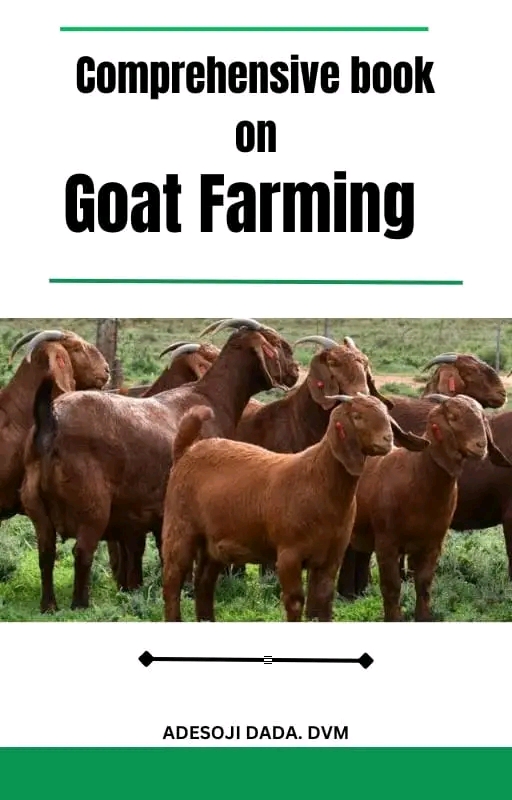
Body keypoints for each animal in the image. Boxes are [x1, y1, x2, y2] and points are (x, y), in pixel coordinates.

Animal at [20, 318, 299, 612]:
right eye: (277, 343)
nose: (295, 370)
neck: (210, 398)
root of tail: (51, 420)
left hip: (36, 507)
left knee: (46, 552)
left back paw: (49, 605)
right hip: (92, 507)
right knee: (83, 552)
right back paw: (80, 604)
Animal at [161, 395, 428, 622]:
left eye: (386, 415)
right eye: (357, 416)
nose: (387, 440)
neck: (318, 480)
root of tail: (186, 451)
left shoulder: (331, 556)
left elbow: (323, 601)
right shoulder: (289, 554)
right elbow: (295, 601)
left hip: (213, 544)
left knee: (204, 583)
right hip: (180, 529)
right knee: (172, 581)